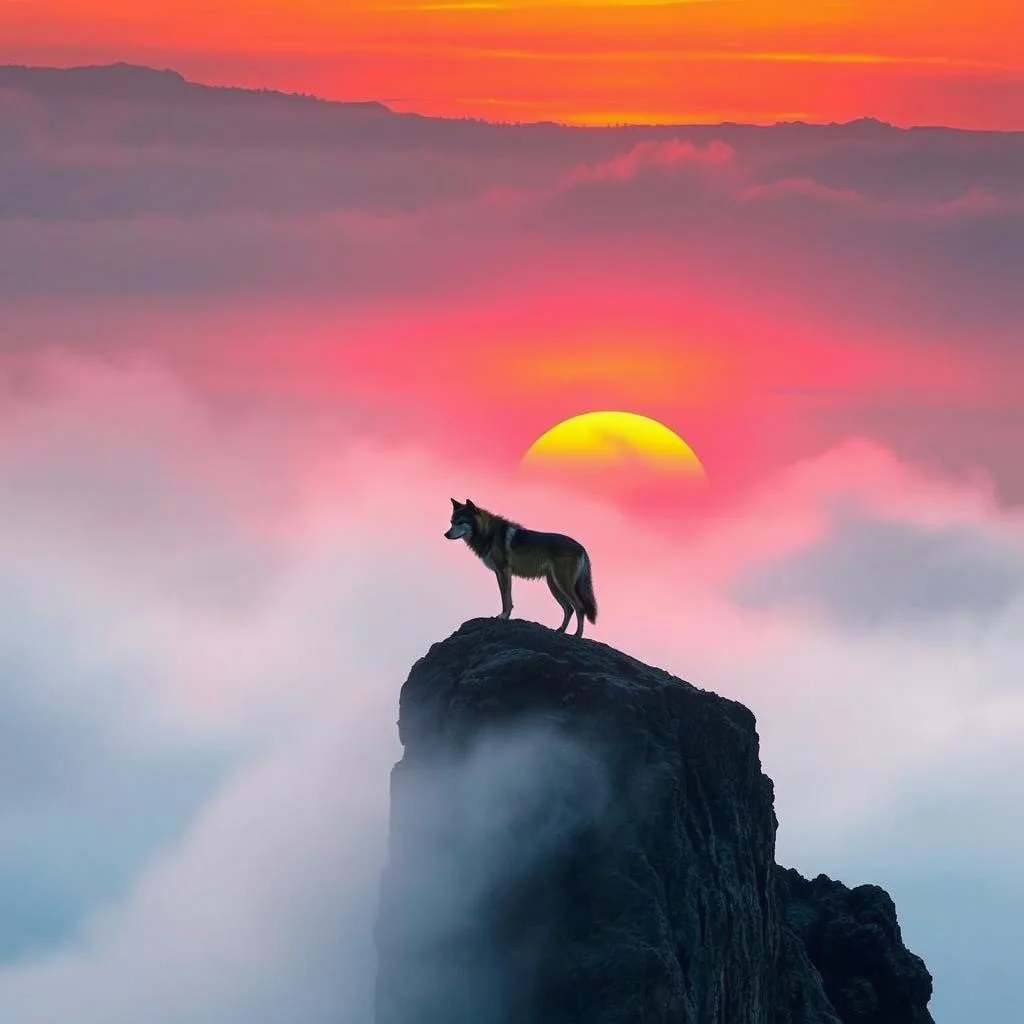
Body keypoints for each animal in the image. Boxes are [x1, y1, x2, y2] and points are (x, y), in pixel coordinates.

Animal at [444, 498, 598, 637]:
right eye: (451, 522)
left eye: (460, 522)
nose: (446, 534)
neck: (489, 533)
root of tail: (582, 548)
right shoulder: (498, 573)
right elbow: (504, 597)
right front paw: (502, 615)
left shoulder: (504, 571)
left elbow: (507, 597)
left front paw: (505, 616)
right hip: (554, 585)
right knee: (569, 609)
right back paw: (560, 630)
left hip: (562, 584)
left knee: (579, 607)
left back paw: (577, 634)